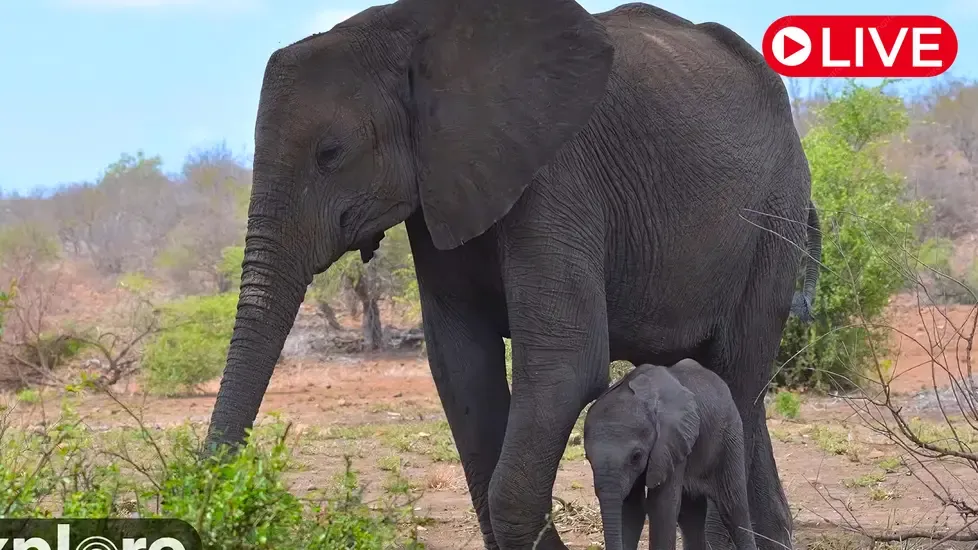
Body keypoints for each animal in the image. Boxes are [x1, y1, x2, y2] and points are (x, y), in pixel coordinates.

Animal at [583, 360, 757, 550]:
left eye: (636, 456)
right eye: (588, 458)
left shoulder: (672, 441)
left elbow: (661, 507)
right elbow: (631, 509)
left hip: (730, 435)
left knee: (733, 508)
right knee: (691, 515)